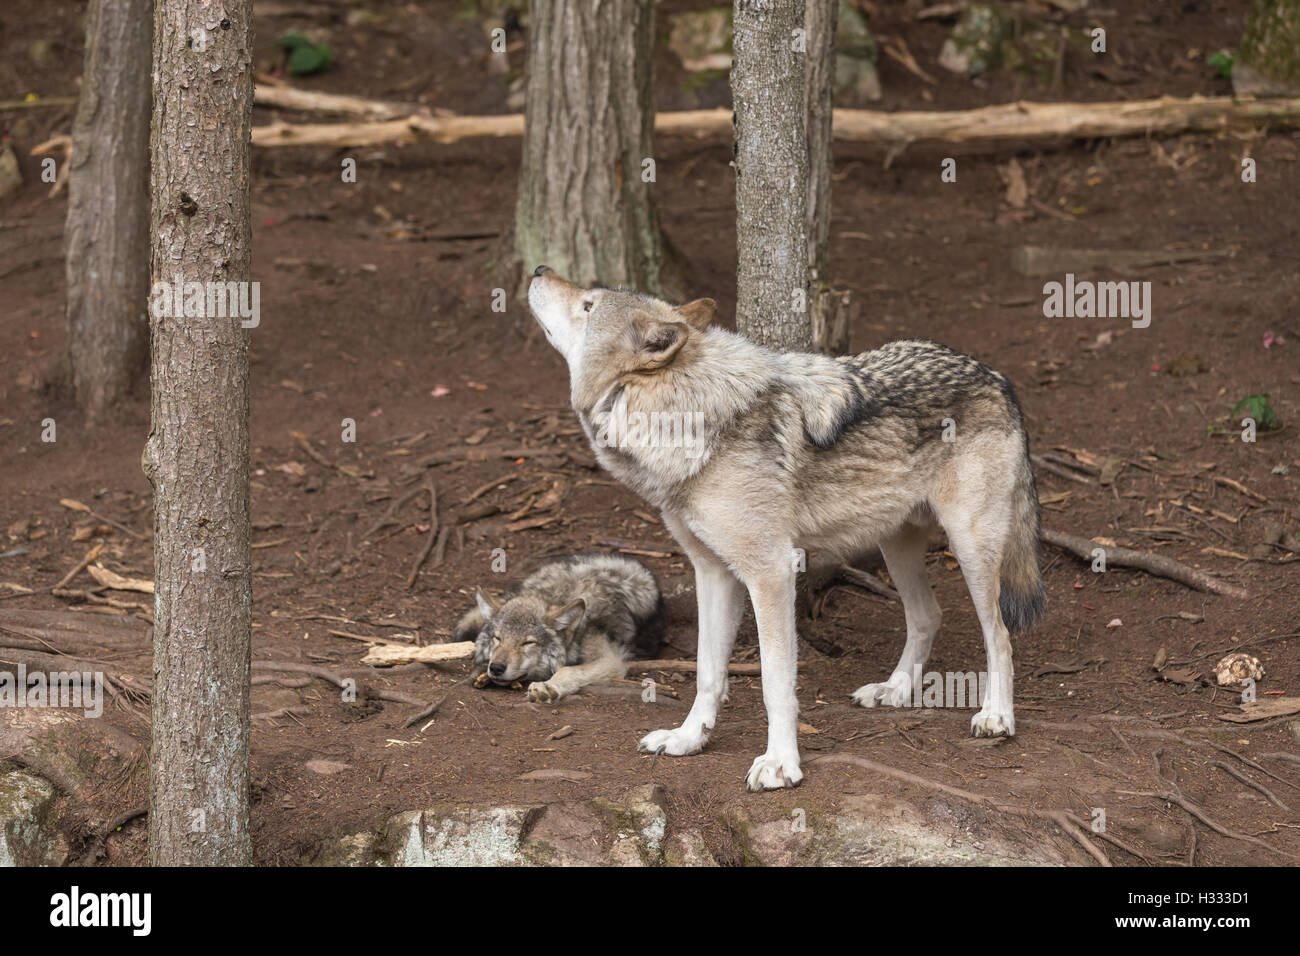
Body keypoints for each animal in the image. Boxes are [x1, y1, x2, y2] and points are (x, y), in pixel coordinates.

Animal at [453, 552, 665, 703]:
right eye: (497, 638)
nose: (496, 667)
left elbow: (568, 670)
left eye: (528, 643)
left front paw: (547, 687)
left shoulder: (609, 660)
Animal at [527, 266, 1044, 791]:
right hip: (894, 548)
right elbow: (707, 672)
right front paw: (689, 738)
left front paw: (780, 763)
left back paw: (997, 716)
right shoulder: (712, 572)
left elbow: (775, 681)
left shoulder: (770, 570)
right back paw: (895, 690)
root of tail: (996, 376)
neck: (681, 411)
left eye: (589, 304)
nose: (539, 270)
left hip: (970, 546)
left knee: (999, 633)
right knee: (928, 615)